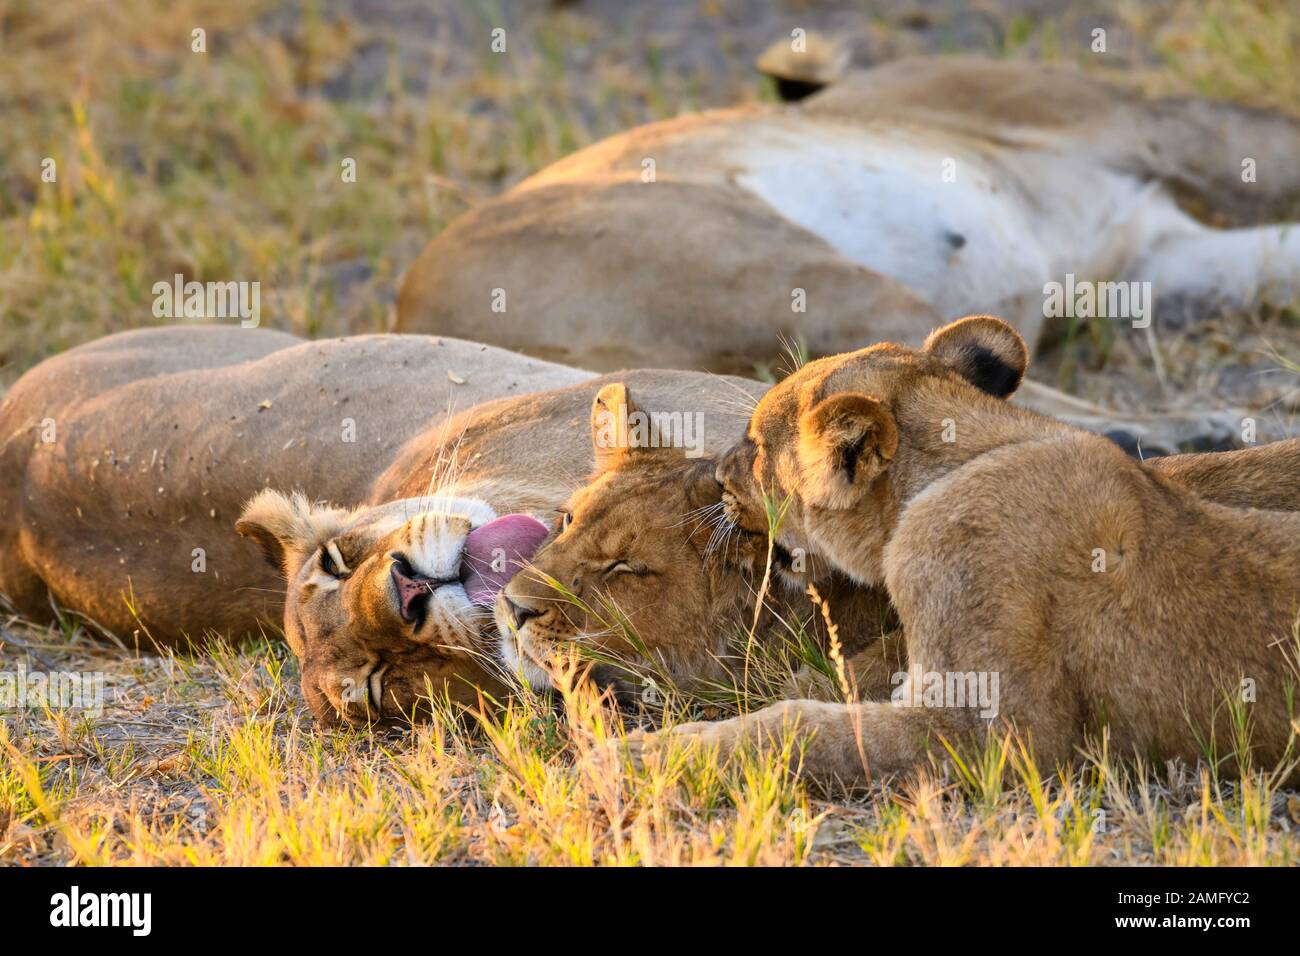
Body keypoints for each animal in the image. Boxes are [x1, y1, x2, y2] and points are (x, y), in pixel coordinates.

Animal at [396, 53, 1300, 450]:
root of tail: (415, 308)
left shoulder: (1154, 251)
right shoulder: (1157, 123)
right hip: (817, 275)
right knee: (969, 388)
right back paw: (1209, 429)